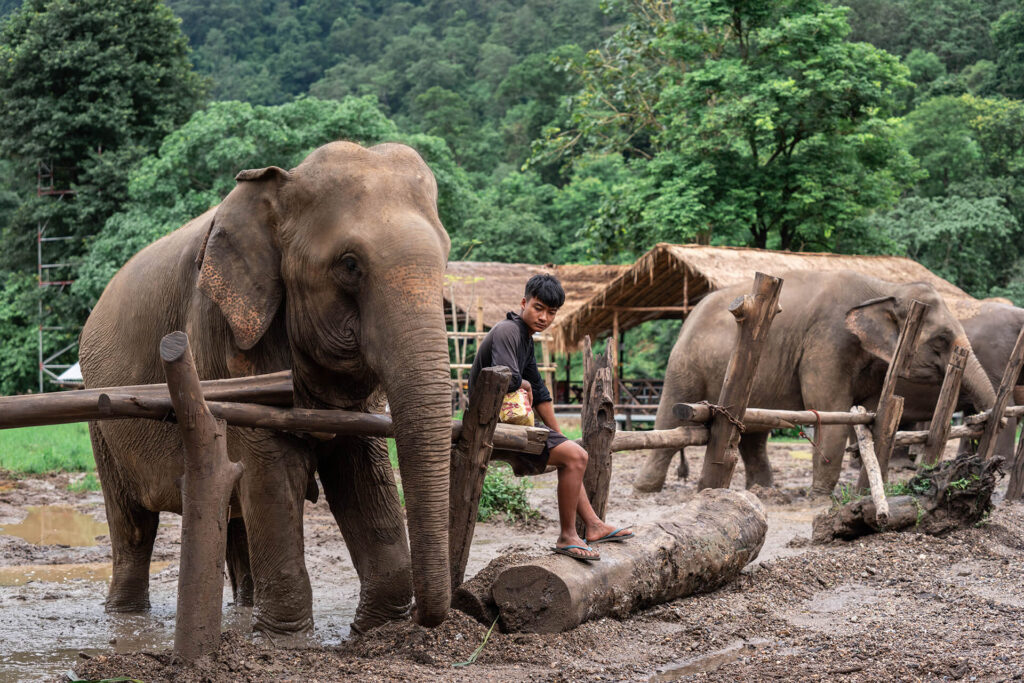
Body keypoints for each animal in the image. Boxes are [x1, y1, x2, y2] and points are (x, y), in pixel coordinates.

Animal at [79, 141, 454, 639]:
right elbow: (273, 466)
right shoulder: (220, 333)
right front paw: (286, 640)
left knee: (233, 509)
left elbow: (360, 466)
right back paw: (126, 617)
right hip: (101, 416)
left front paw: (374, 631)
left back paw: (242, 607)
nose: (426, 621)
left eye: (446, 259)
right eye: (349, 265)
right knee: (134, 524)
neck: (281, 186)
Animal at [633, 270, 997, 496]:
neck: (887, 287)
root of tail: (690, 314)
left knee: (753, 434)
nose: (985, 419)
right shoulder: (827, 342)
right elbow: (830, 410)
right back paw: (644, 489)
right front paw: (820, 495)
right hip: (684, 364)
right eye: (941, 339)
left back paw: (763, 491)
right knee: (670, 418)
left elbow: (872, 413)